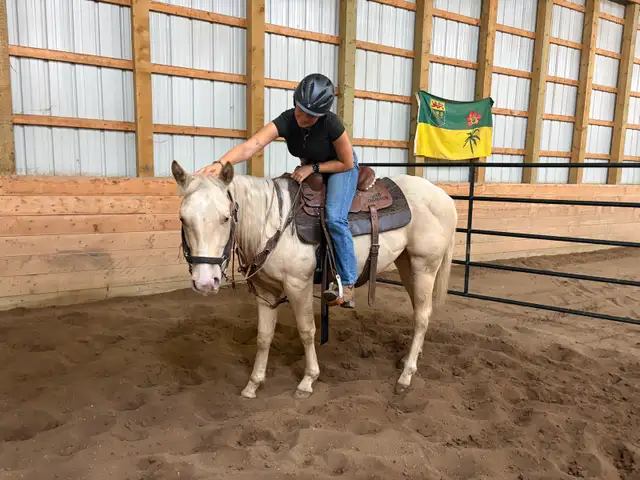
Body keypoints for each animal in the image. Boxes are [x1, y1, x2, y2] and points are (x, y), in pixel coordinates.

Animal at [170, 159, 458, 399]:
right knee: (421, 311)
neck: (272, 222)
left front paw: (308, 380)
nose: (205, 282)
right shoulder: (265, 291)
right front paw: (253, 384)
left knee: (422, 316)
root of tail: (443, 196)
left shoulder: (298, 285)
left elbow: (307, 331)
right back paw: (410, 360)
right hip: (407, 265)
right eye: (183, 218)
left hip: (424, 266)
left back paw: (406, 375)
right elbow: (263, 336)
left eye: (225, 217)